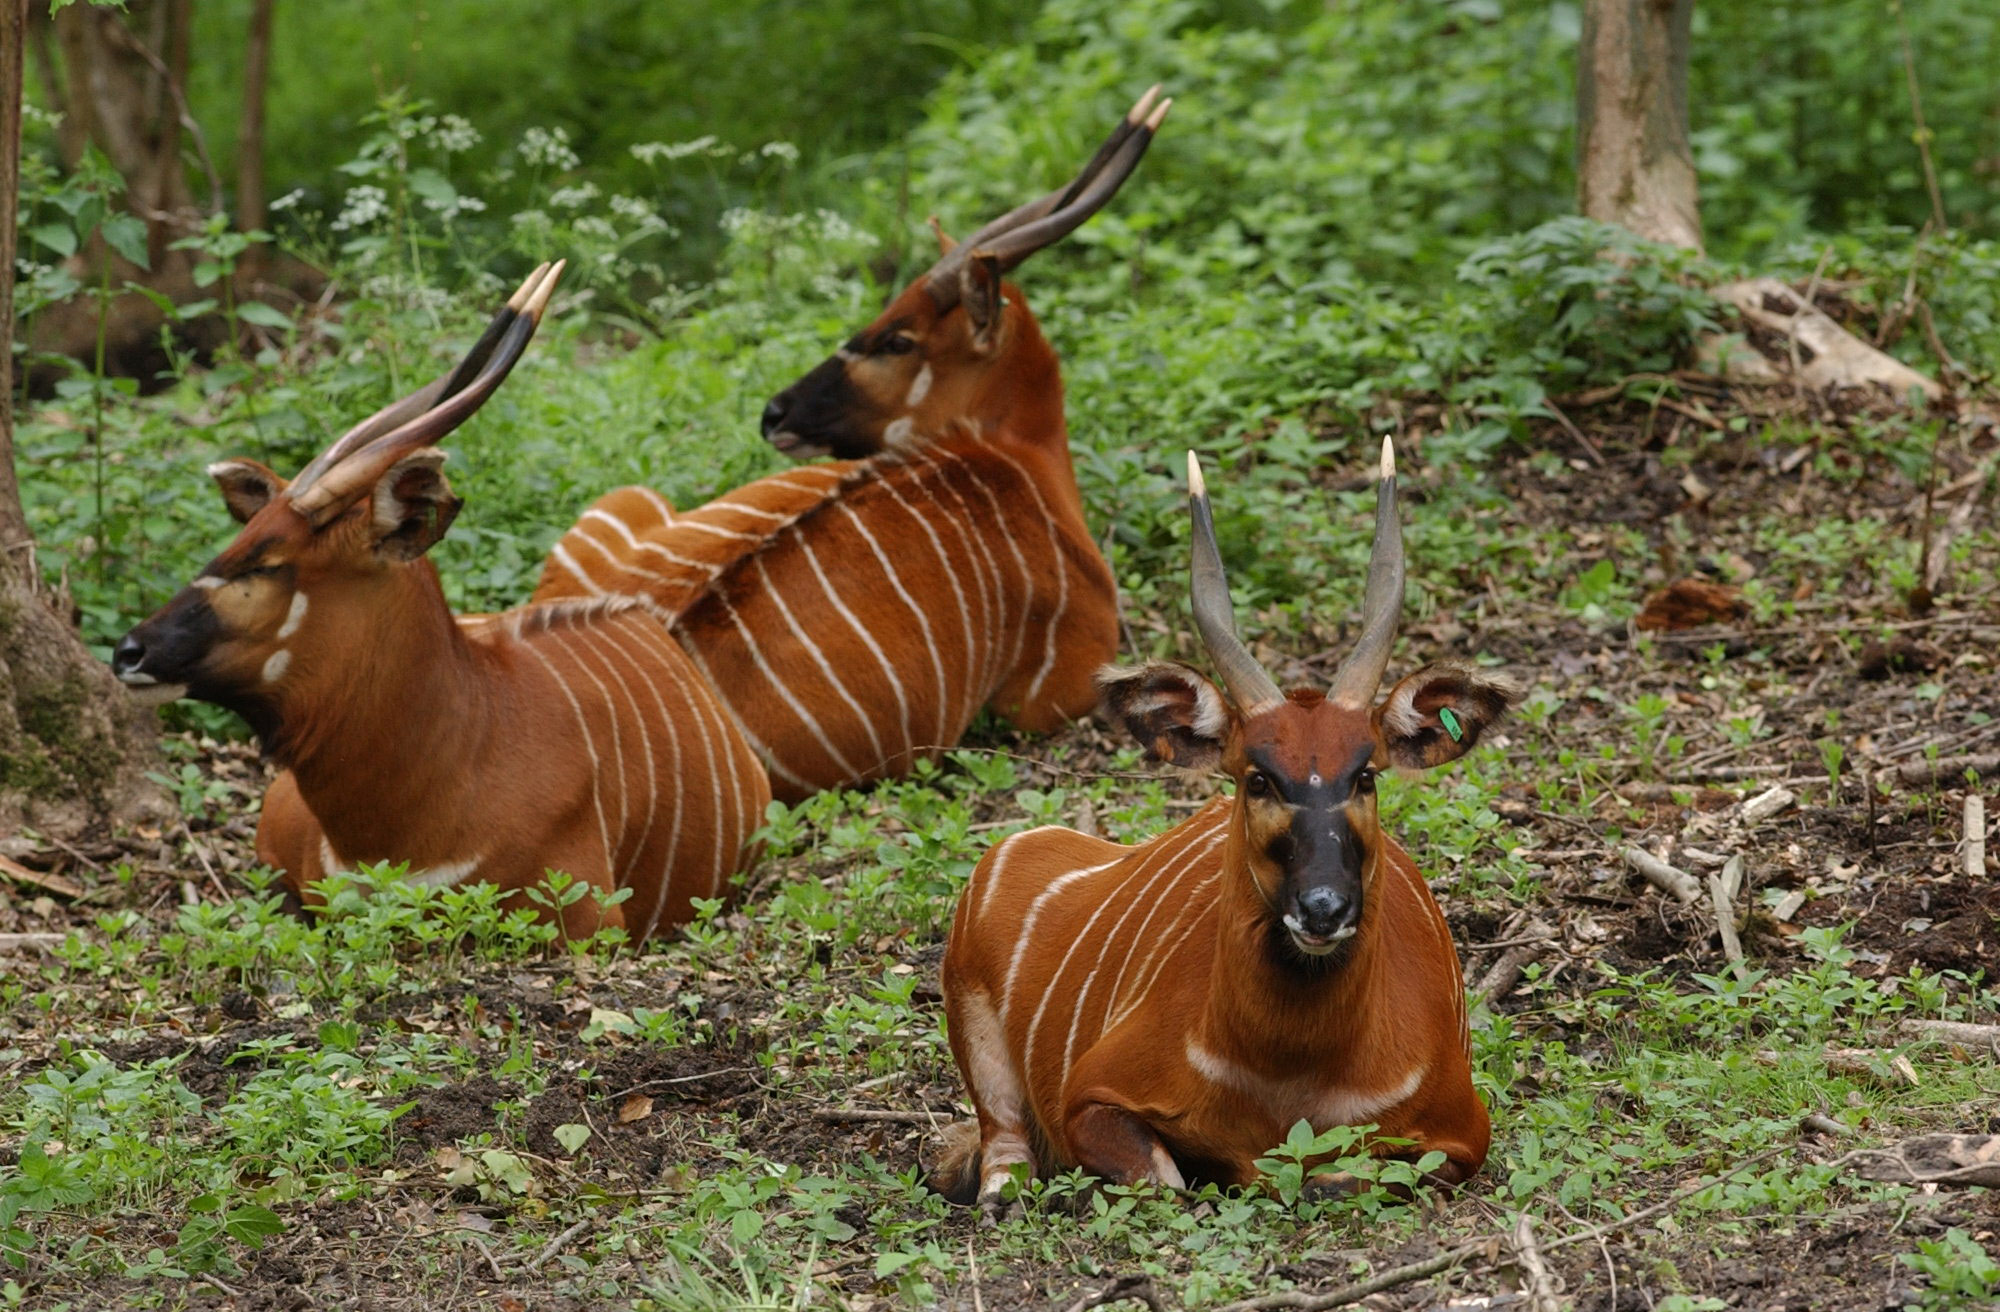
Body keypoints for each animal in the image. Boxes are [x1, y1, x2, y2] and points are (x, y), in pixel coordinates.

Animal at [930, 441, 1520, 1209]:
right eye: (1256, 777)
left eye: (1366, 774)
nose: (1323, 908)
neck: (1291, 1077)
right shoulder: (1091, 1097)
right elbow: (1169, 1180)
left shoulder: (1463, 1134)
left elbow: (1337, 1177)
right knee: (1004, 1155)